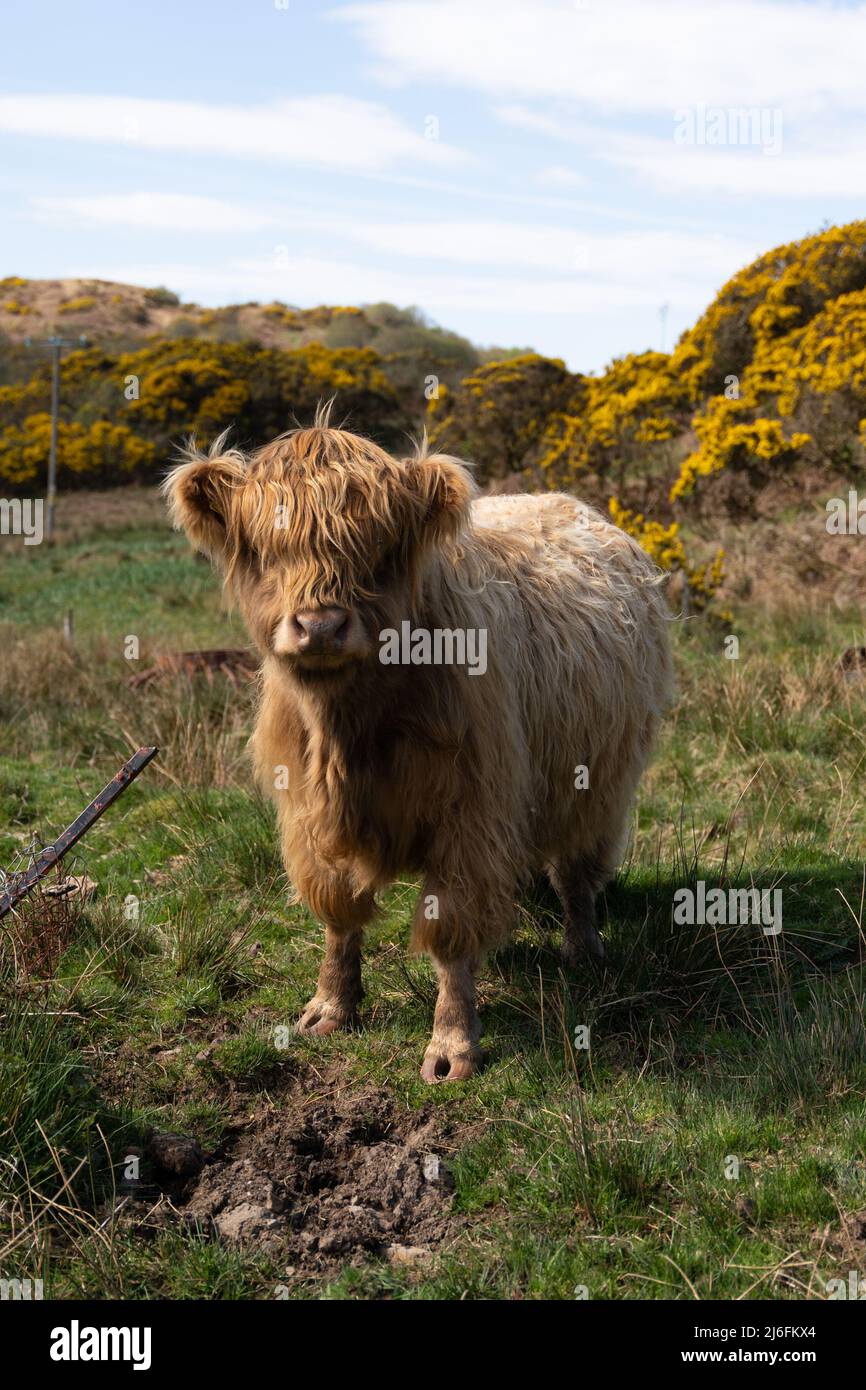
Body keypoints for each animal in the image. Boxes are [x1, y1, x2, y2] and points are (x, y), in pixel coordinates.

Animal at [164, 409, 674, 1081]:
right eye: (268, 551)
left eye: (378, 547)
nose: (321, 626)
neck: (349, 726)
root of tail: (567, 503)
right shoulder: (306, 805)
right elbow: (337, 911)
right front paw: (330, 1006)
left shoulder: (470, 810)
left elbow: (450, 927)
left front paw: (452, 1046)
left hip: (600, 782)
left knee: (577, 872)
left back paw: (582, 948)